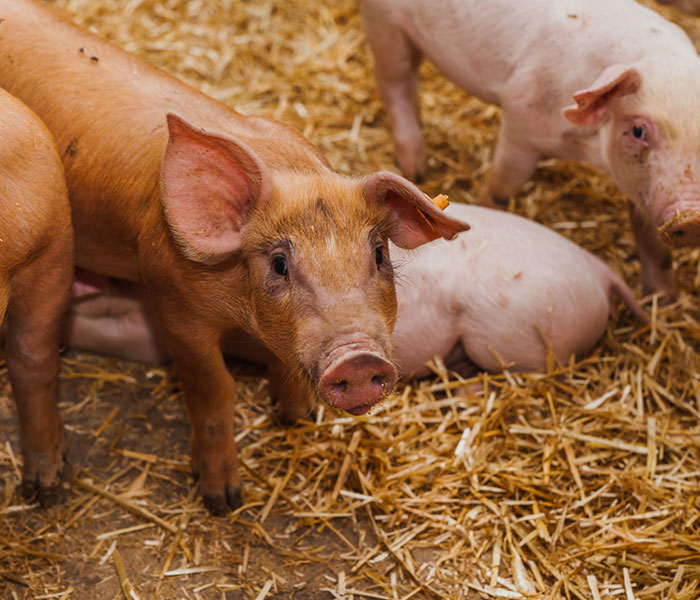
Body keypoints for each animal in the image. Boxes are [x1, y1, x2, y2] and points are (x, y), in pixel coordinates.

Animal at [0, 0, 470, 514]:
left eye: (380, 254)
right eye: (280, 263)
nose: (359, 360)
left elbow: (282, 360)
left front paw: (297, 417)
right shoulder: (173, 302)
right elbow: (213, 390)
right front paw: (222, 499)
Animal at [361, 0, 700, 300]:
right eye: (639, 130)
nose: (691, 219)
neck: (586, 149)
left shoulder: (639, 185)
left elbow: (652, 241)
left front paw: (664, 297)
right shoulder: (519, 117)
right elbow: (502, 187)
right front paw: (487, 210)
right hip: (385, 24)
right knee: (393, 82)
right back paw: (416, 169)